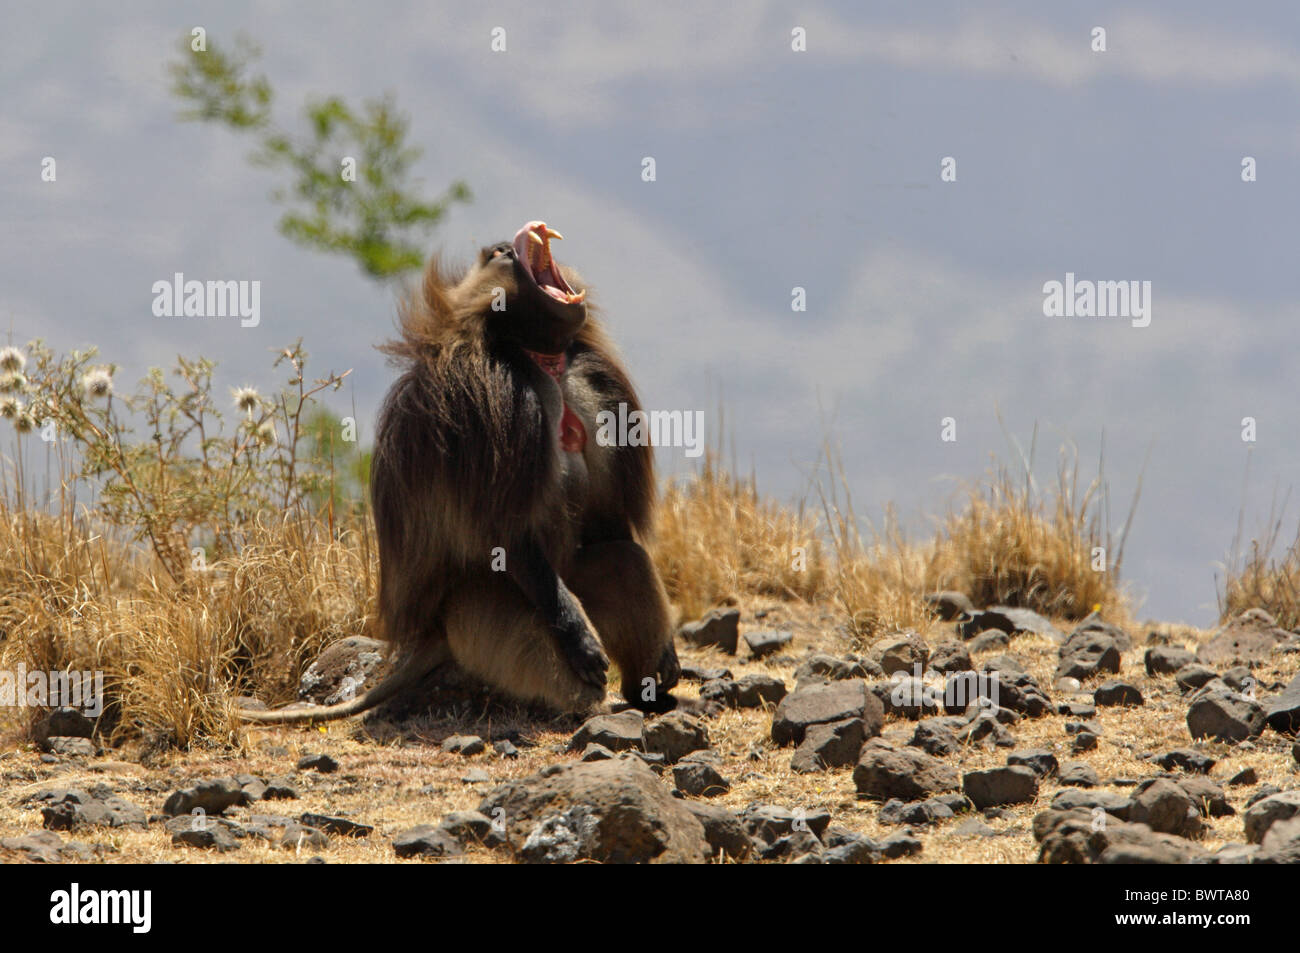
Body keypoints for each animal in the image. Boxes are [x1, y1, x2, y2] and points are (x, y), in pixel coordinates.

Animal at [238, 221, 680, 724]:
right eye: (498, 254)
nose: (508, 242)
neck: (533, 354)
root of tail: (434, 634)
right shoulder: (499, 400)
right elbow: (508, 534)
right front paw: (580, 641)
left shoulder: (593, 382)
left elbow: (605, 522)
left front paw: (667, 656)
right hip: (478, 617)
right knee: (555, 652)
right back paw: (590, 705)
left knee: (624, 561)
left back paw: (648, 694)